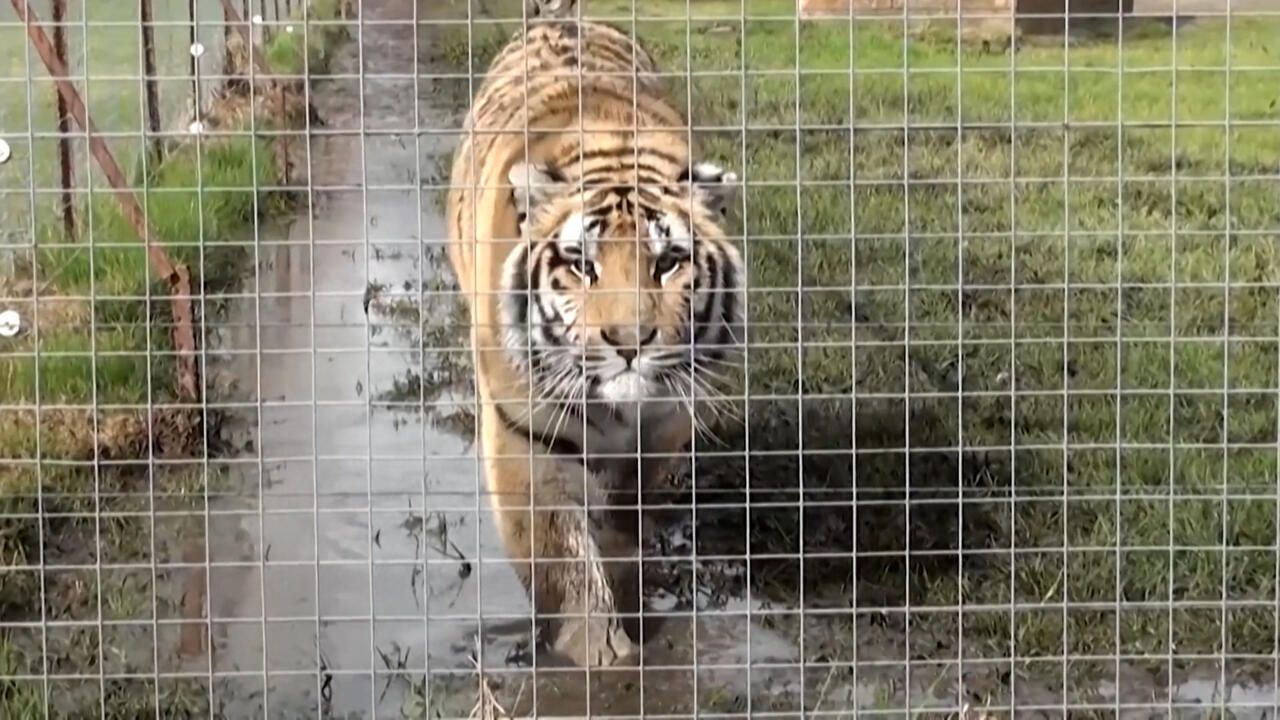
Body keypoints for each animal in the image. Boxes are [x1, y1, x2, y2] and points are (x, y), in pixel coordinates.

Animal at [445, 0, 745, 668]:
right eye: (583, 265)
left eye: (669, 262)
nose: (629, 342)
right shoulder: (523, 434)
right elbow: (564, 559)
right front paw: (599, 656)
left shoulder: (661, 430)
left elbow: (621, 530)